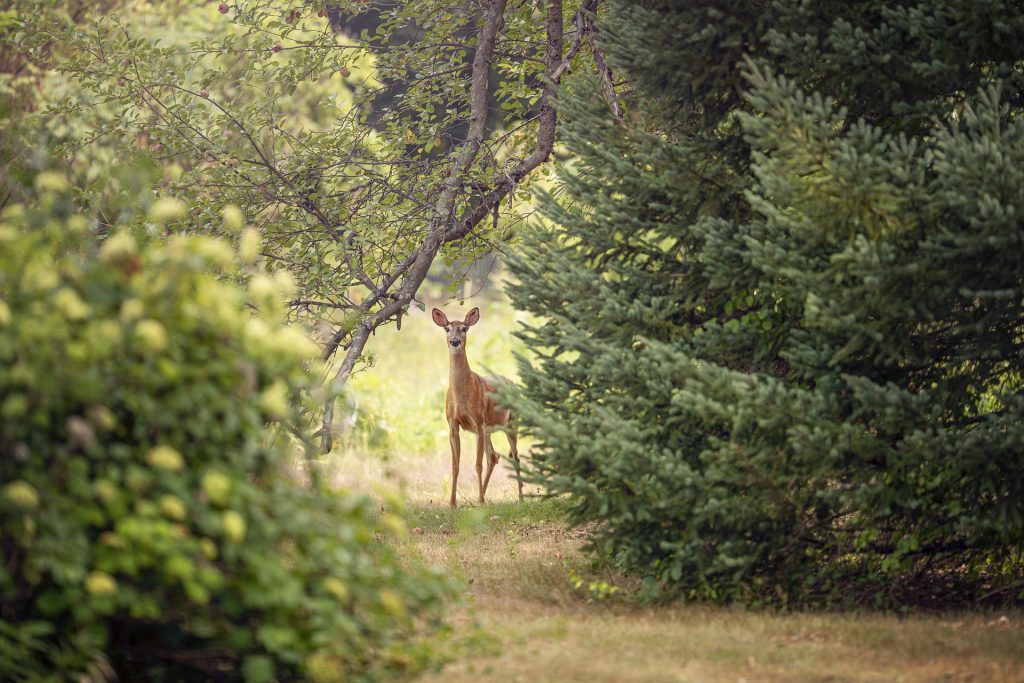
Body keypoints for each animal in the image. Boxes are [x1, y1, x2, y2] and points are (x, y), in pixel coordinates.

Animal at [432, 306, 522, 507]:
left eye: (464, 328)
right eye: (447, 328)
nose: (455, 341)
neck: (462, 395)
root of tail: (513, 383)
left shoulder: (478, 421)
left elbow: (477, 464)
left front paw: (479, 500)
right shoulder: (452, 423)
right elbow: (455, 465)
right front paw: (452, 503)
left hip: (511, 423)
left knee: (515, 457)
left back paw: (520, 497)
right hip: (489, 430)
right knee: (494, 456)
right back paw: (483, 496)